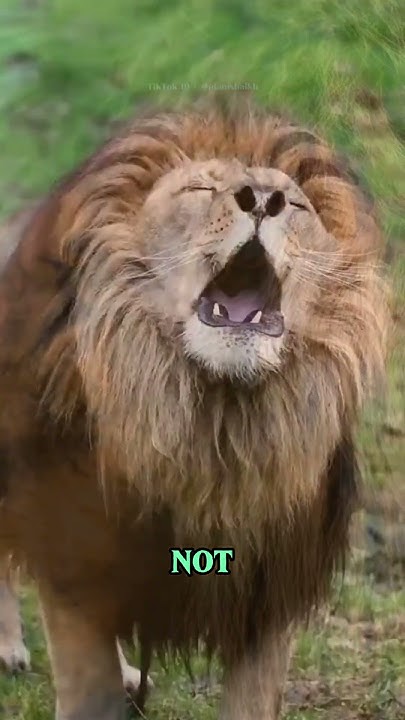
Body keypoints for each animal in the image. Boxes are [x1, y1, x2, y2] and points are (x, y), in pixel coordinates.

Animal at [0, 96, 387, 720]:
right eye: (203, 187)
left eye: (294, 204)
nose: (263, 200)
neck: (213, 424)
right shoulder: (76, 554)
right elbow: (87, 688)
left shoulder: (269, 591)